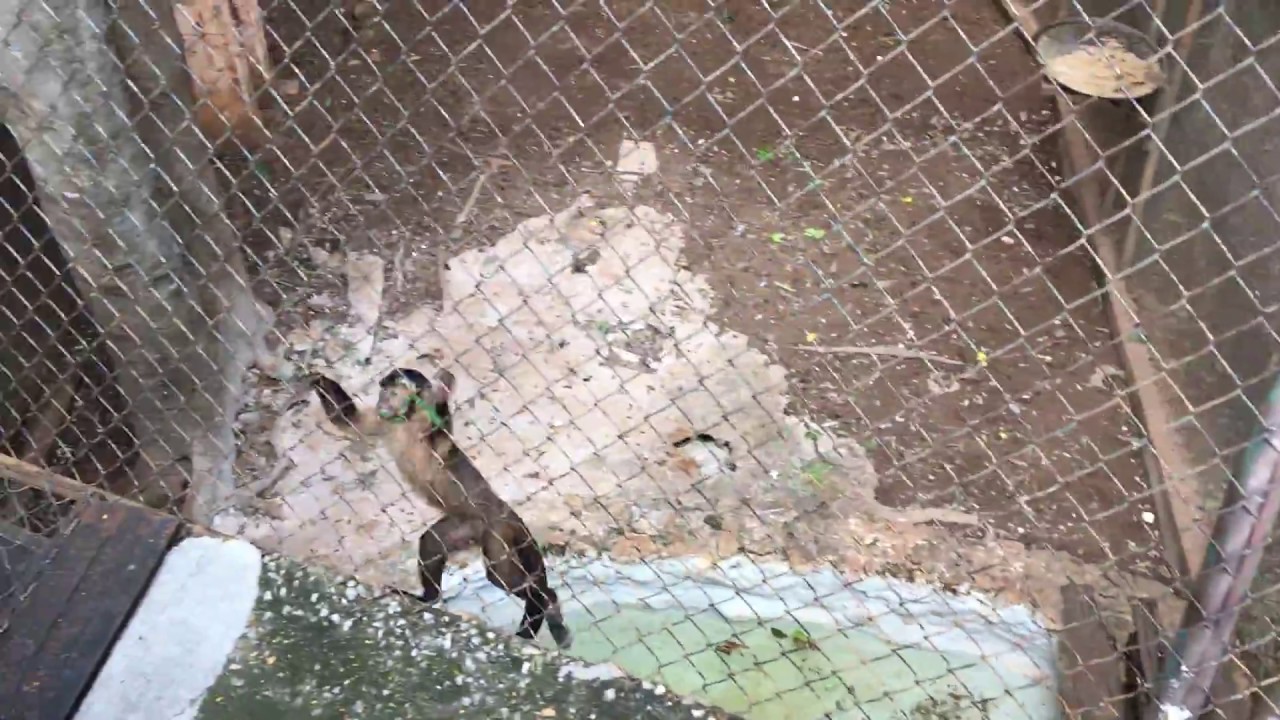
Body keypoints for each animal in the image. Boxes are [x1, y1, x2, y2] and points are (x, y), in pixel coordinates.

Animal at [308, 367, 573, 649]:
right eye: (382, 394)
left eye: (390, 393)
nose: (382, 403)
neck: (406, 420)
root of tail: (506, 511)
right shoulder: (385, 422)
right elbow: (346, 420)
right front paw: (317, 379)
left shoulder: (427, 427)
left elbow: (441, 424)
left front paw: (442, 388)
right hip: (468, 526)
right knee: (432, 543)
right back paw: (428, 597)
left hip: (498, 530)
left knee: (501, 576)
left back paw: (547, 600)